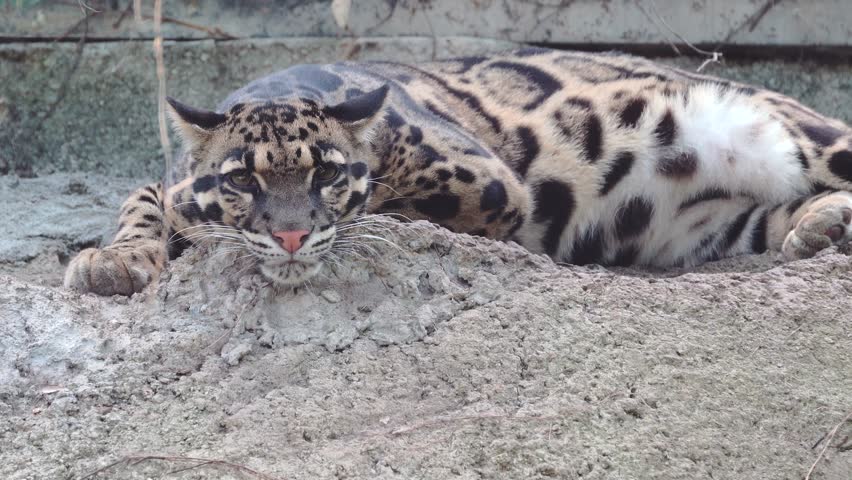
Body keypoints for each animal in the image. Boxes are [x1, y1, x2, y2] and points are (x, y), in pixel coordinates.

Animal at [64, 46, 852, 296]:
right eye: (241, 181)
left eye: (327, 176)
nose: (289, 237)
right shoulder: (167, 183)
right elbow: (141, 204)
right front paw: (114, 261)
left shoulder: (486, 182)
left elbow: (391, 207)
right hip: (698, 227)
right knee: (762, 221)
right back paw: (819, 226)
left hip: (805, 133)